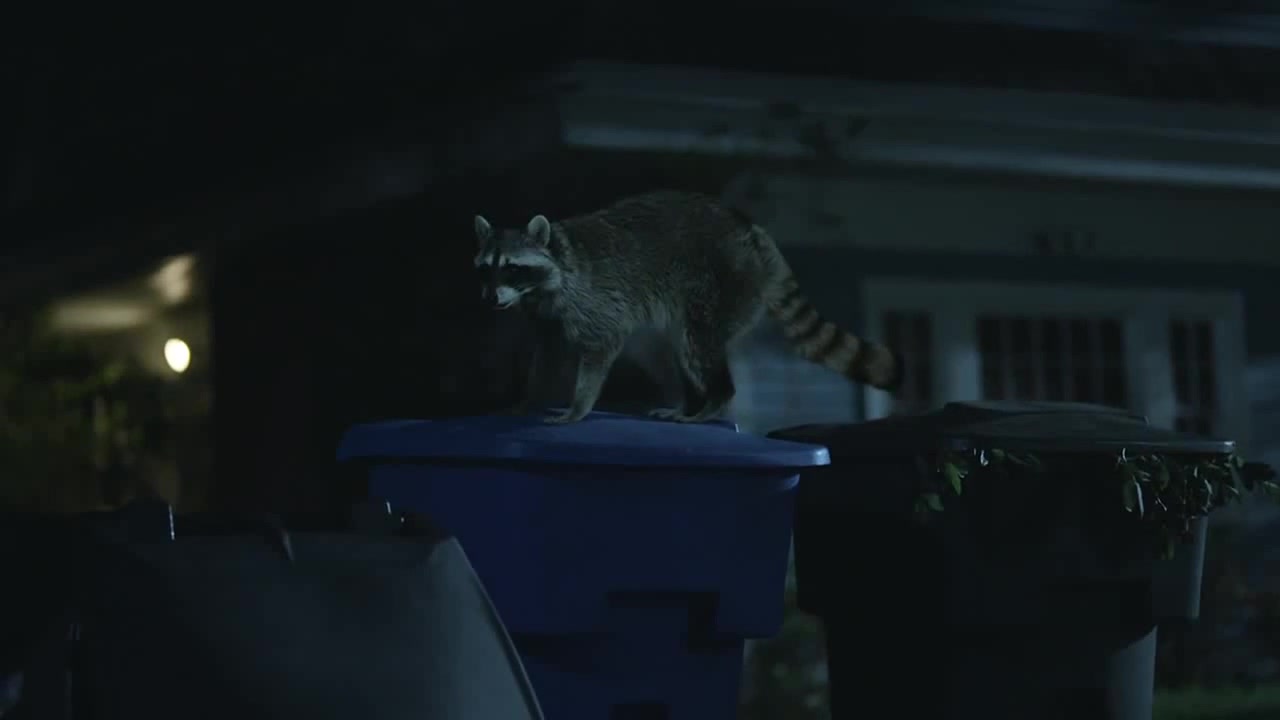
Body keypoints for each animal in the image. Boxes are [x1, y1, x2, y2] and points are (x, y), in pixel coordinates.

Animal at [473, 190, 903, 424]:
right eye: (485, 270)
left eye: (511, 268)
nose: (489, 299)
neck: (540, 288)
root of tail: (754, 233)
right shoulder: (547, 318)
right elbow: (546, 356)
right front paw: (528, 399)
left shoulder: (593, 302)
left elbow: (600, 350)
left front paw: (578, 407)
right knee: (669, 350)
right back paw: (689, 399)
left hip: (721, 283)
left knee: (696, 341)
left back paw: (713, 400)